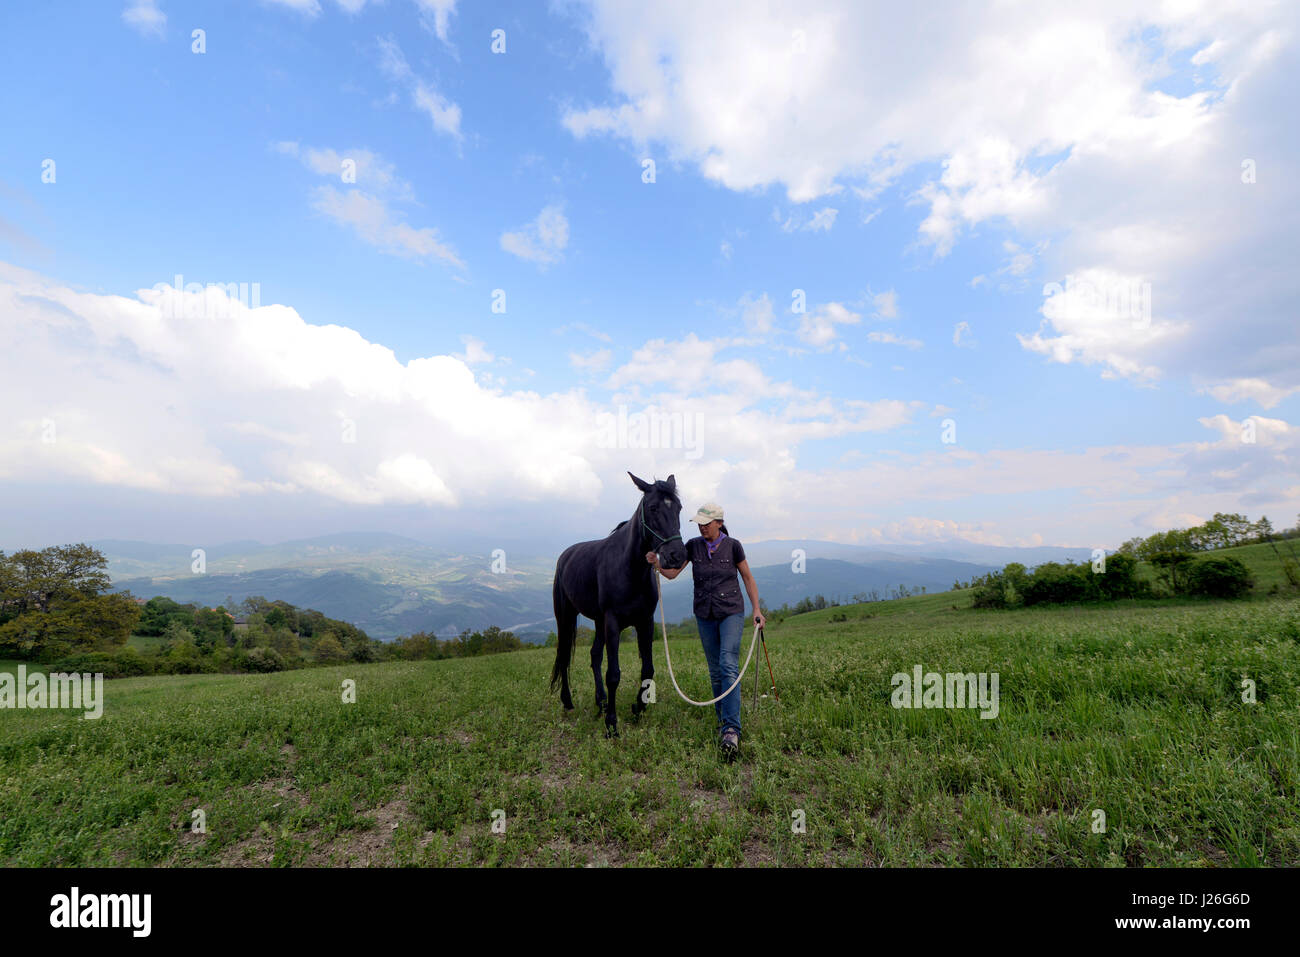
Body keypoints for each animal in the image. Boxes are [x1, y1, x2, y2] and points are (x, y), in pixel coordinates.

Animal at [550, 472, 688, 737]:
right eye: (653, 507)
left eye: (678, 508)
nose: (676, 556)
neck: (629, 568)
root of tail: (565, 556)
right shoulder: (613, 622)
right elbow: (613, 674)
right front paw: (612, 724)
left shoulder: (645, 622)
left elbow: (647, 669)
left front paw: (638, 708)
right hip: (567, 616)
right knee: (564, 655)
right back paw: (568, 701)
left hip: (599, 622)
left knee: (594, 655)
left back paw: (601, 701)